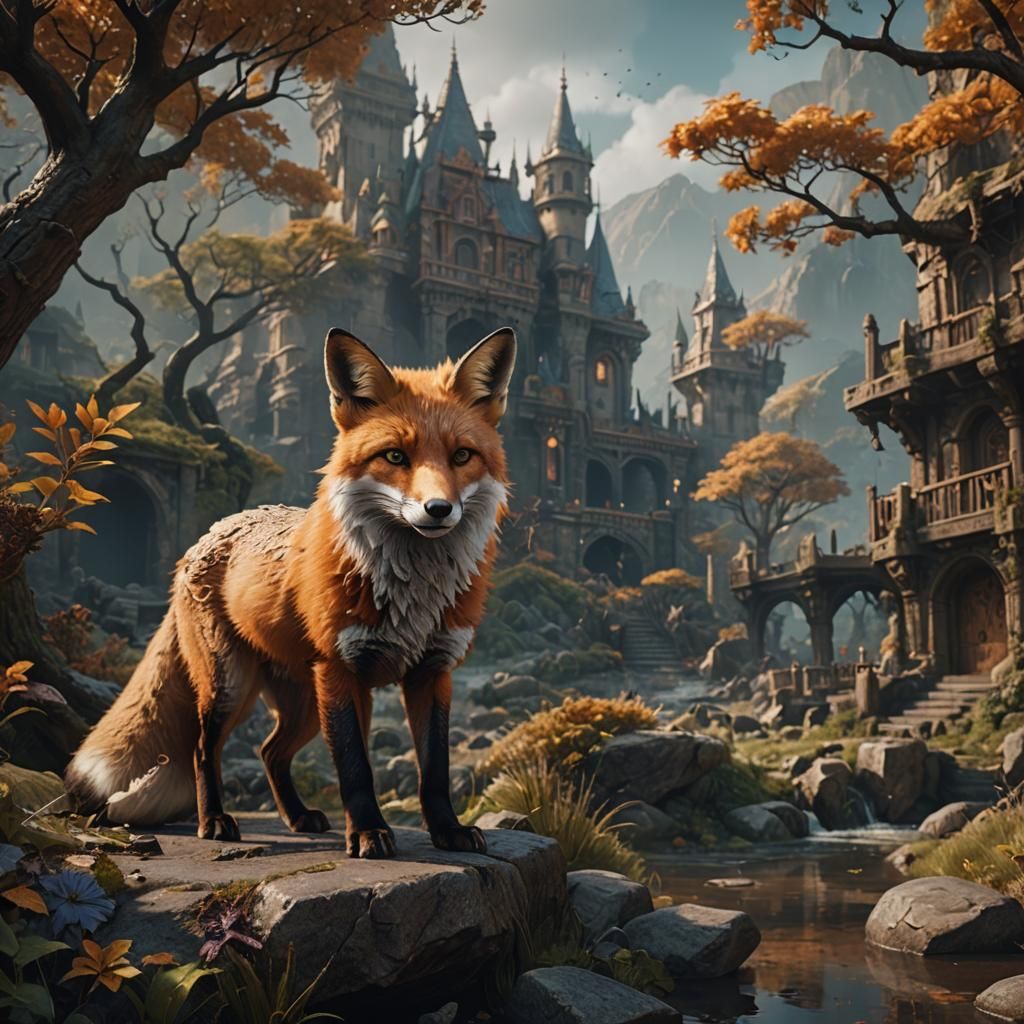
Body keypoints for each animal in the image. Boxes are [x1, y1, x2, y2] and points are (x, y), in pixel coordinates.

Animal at [65, 326, 516, 859]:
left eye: (462, 455)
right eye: (395, 456)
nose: (439, 509)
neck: (412, 595)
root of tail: (207, 534)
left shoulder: (432, 672)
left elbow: (436, 769)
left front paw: (448, 831)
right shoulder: (340, 670)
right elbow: (356, 769)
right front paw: (368, 832)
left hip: (303, 705)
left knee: (269, 751)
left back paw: (299, 817)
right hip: (231, 686)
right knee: (203, 748)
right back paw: (214, 820)